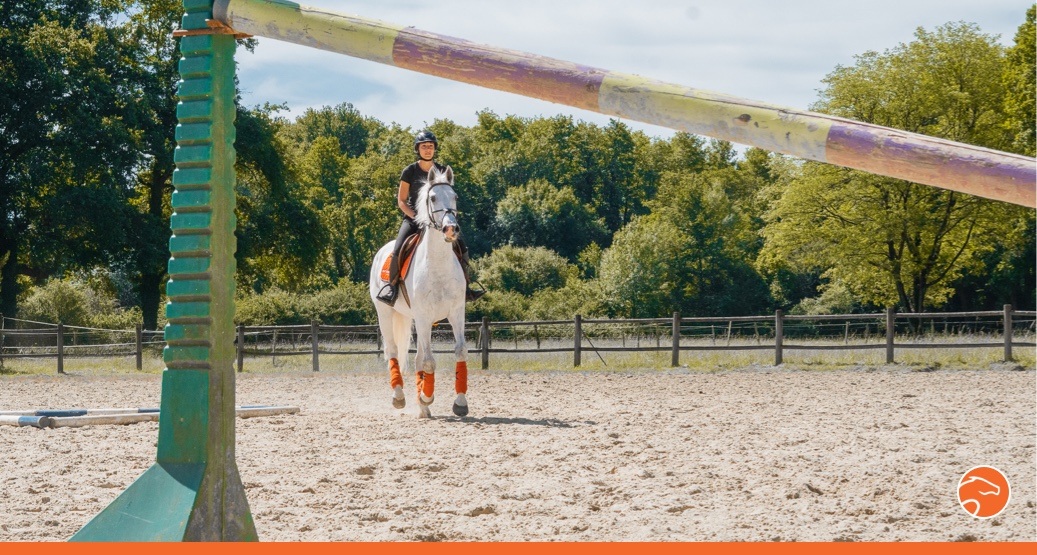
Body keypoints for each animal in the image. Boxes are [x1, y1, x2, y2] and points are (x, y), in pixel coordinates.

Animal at [369, 165, 469, 418]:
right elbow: (429, 362)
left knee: (416, 358)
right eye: (432, 198)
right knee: (393, 351)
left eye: (455, 197)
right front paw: (427, 396)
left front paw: (459, 403)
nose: (451, 229)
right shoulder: (424, 317)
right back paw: (400, 397)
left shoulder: (456, 313)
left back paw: (422, 406)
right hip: (386, 314)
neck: (438, 264)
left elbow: (460, 352)